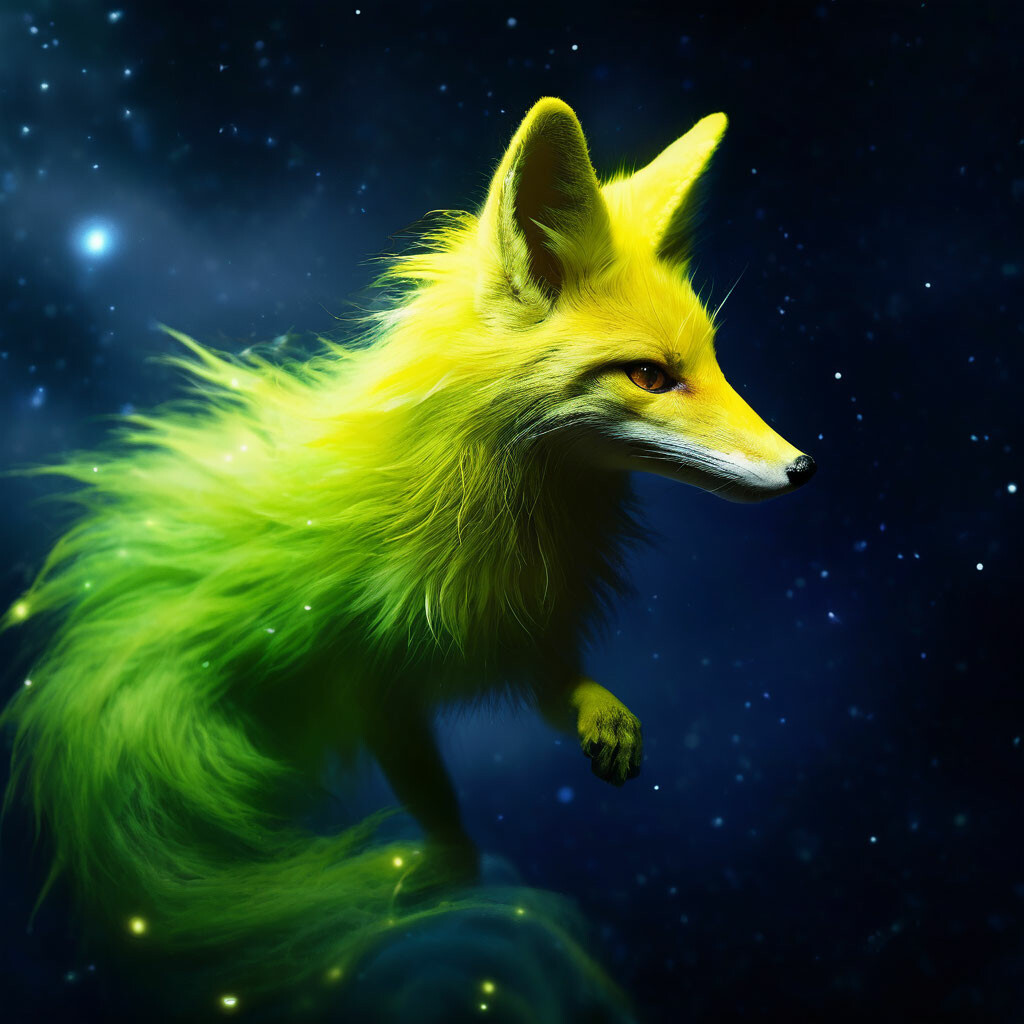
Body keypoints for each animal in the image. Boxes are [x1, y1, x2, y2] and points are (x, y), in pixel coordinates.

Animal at [2, 97, 814, 1010]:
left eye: (714, 360)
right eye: (649, 376)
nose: (803, 467)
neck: (505, 508)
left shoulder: (521, 626)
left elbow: (563, 688)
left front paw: (603, 720)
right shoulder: (378, 684)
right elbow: (442, 816)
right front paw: (437, 886)